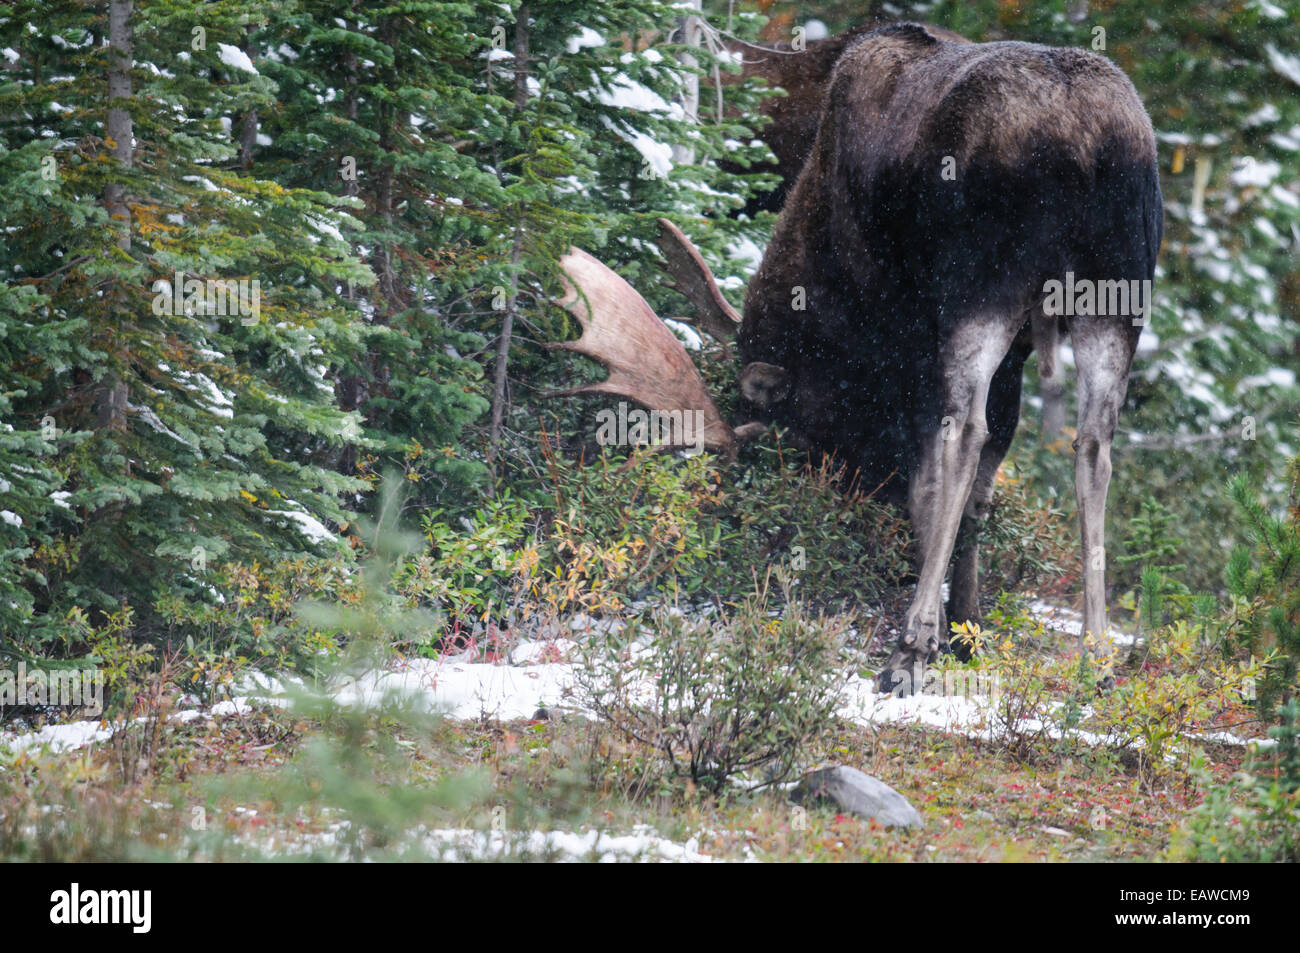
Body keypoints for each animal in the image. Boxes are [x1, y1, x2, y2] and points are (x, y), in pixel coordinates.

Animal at [550, 23, 1163, 695]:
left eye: (798, 433)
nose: (851, 494)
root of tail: (1082, 138)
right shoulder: (1018, 354)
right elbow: (984, 488)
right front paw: (969, 630)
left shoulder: (907, 335)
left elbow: (934, 479)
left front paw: (941, 632)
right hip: (1118, 292)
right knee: (1093, 445)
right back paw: (1096, 659)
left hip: (981, 287)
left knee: (965, 436)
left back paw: (908, 650)